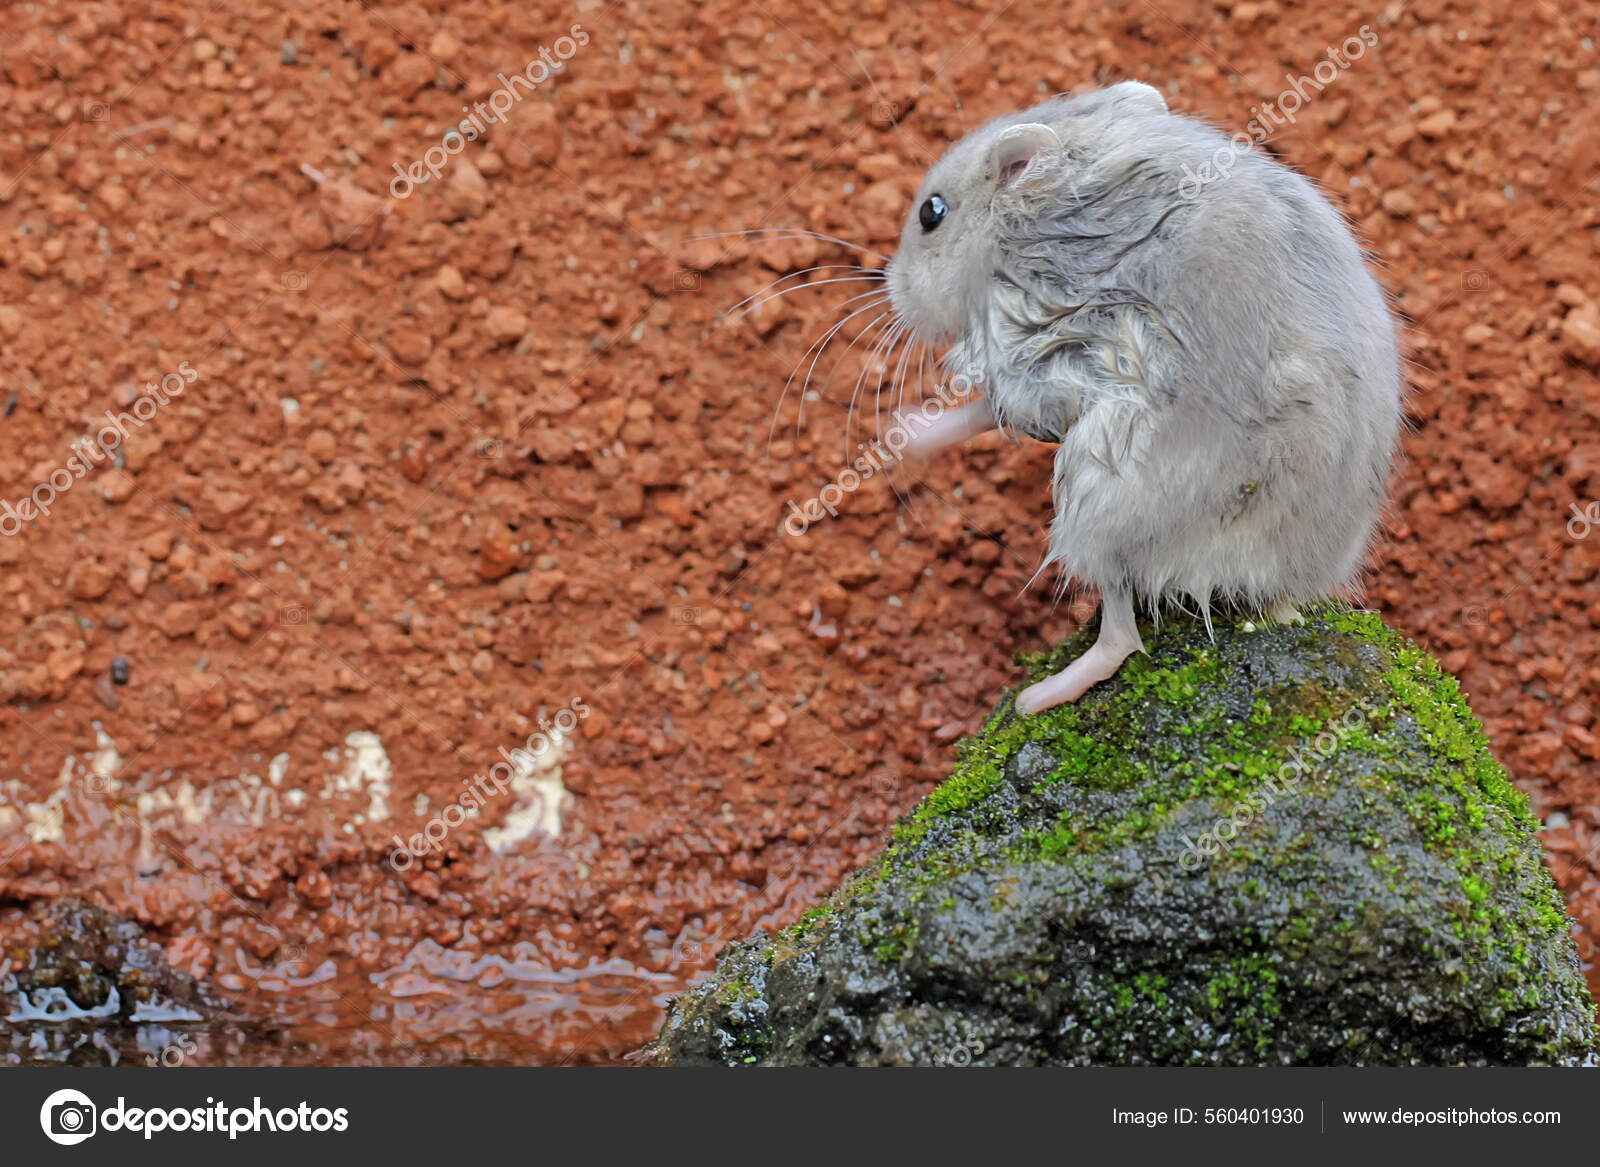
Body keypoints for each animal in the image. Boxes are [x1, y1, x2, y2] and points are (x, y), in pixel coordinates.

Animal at [885, 82, 1402, 715]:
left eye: (931, 213)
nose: (891, 289)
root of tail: (1288, 576)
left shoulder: (1026, 344)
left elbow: (993, 409)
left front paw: (904, 435)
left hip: (1099, 496)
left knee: (1121, 629)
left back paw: (1042, 696)